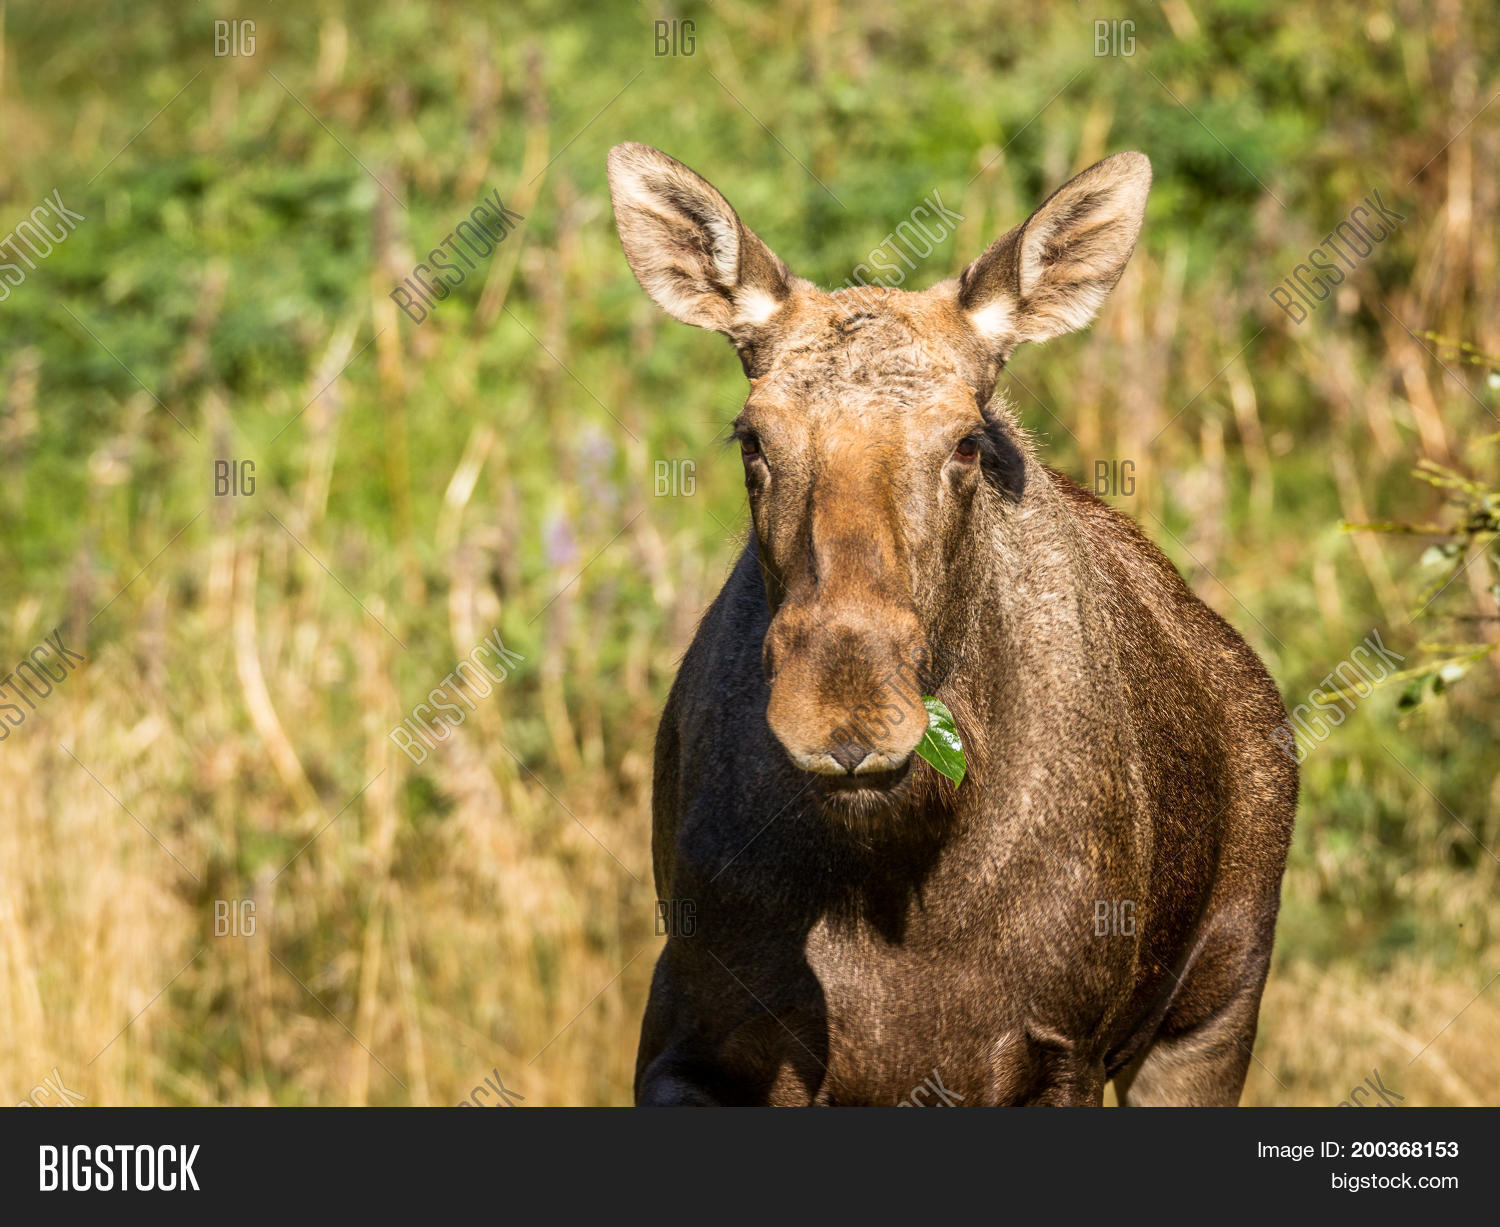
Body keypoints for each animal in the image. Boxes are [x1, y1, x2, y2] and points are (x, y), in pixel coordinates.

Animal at [607, 141, 1297, 1106]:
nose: (848, 717)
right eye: (752, 437)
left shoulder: (1063, 1051)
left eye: (968, 440)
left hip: (1214, 1008)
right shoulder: (690, 1039)